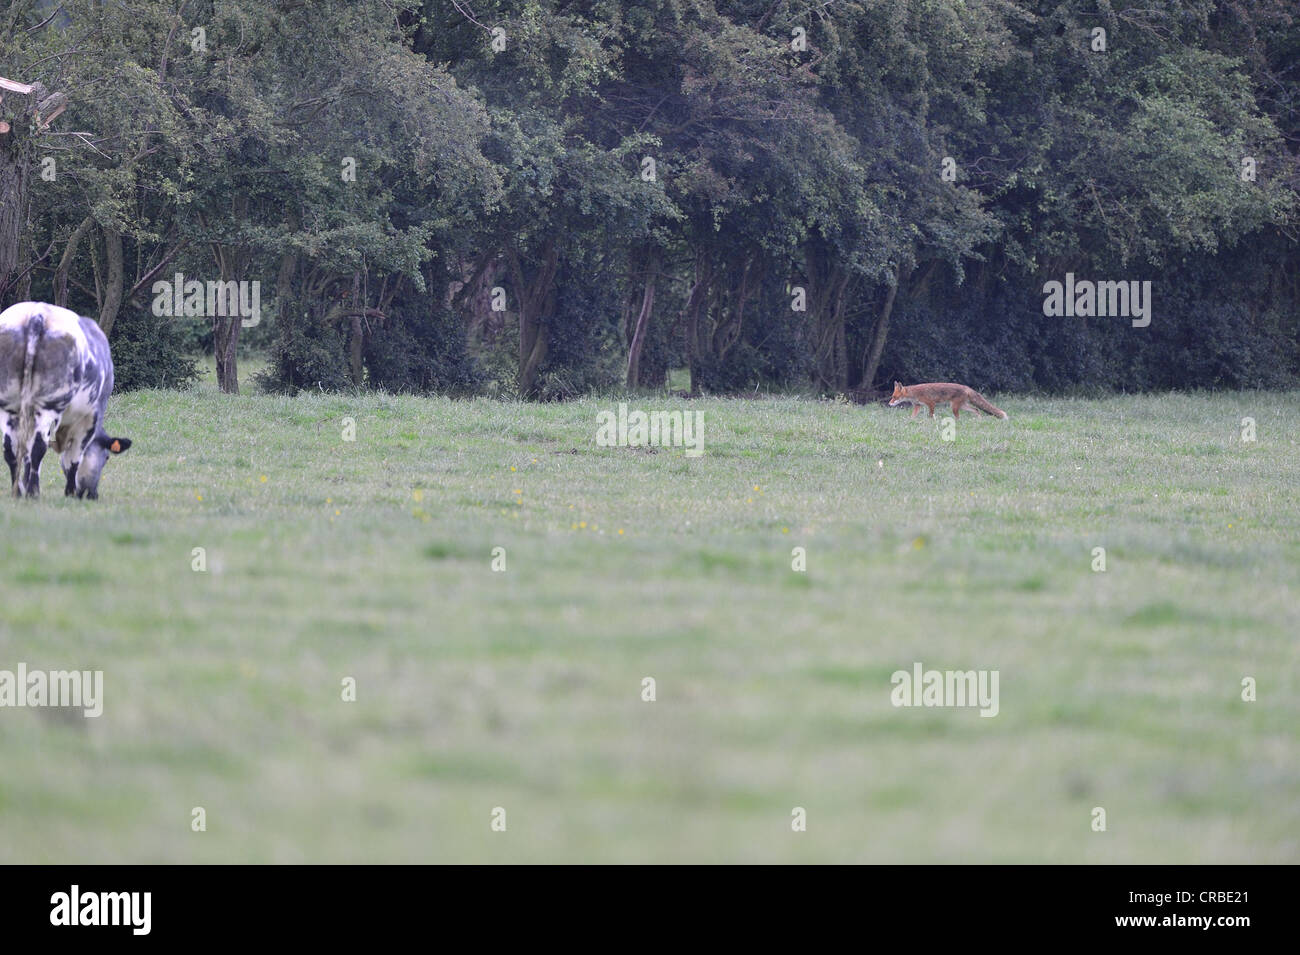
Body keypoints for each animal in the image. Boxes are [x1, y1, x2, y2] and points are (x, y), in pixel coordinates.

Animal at [0, 302, 132, 500]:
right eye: (107, 457)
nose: (92, 495)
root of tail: (38, 312)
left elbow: (27, 455)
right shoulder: (90, 417)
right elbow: (74, 458)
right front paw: (70, 492)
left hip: (9, 406)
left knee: (11, 450)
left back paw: (18, 491)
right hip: (48, 405)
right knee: (38, 448)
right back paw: (33, 492)